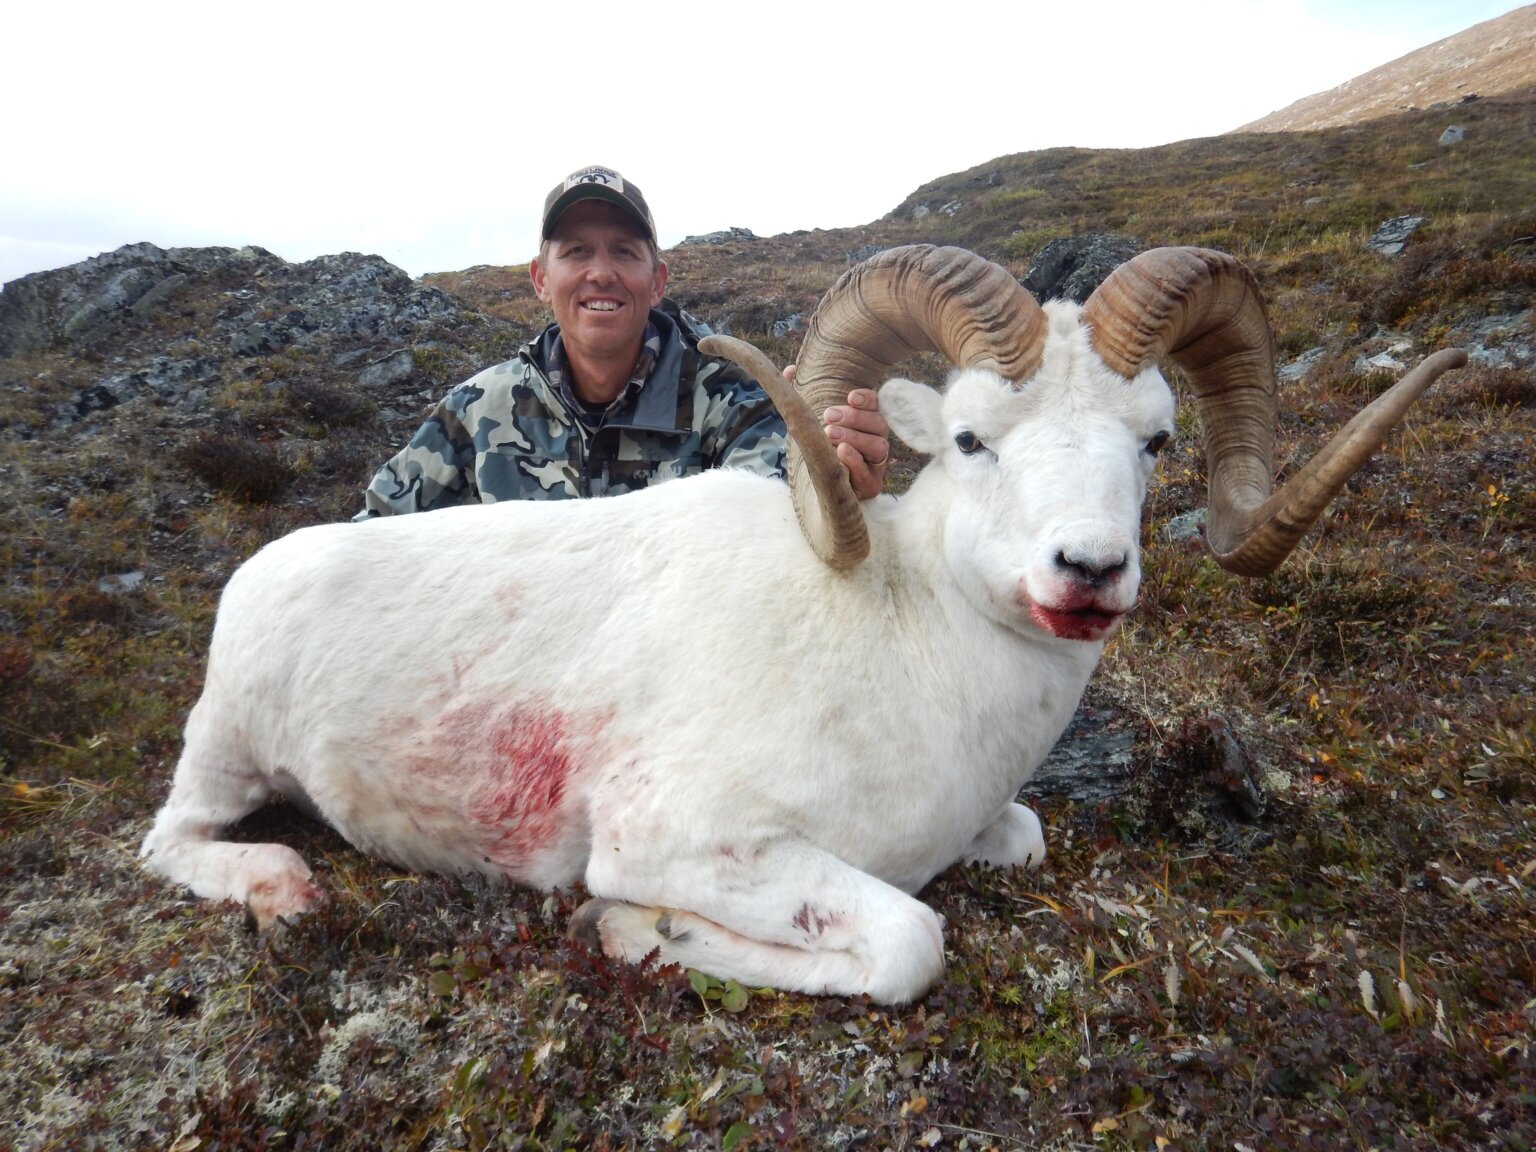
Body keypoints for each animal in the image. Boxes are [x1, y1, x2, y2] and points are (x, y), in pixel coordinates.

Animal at [140, 245, 1465, 1004]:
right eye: (972, 437)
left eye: (1155, 441)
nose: (1087, 573)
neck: (904, 650)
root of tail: (255, 579)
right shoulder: (697, 843)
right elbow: (907, 944)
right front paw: (633, 932)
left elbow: (1022, 843)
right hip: (226, 762)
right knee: (168, 843)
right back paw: (281, 889)